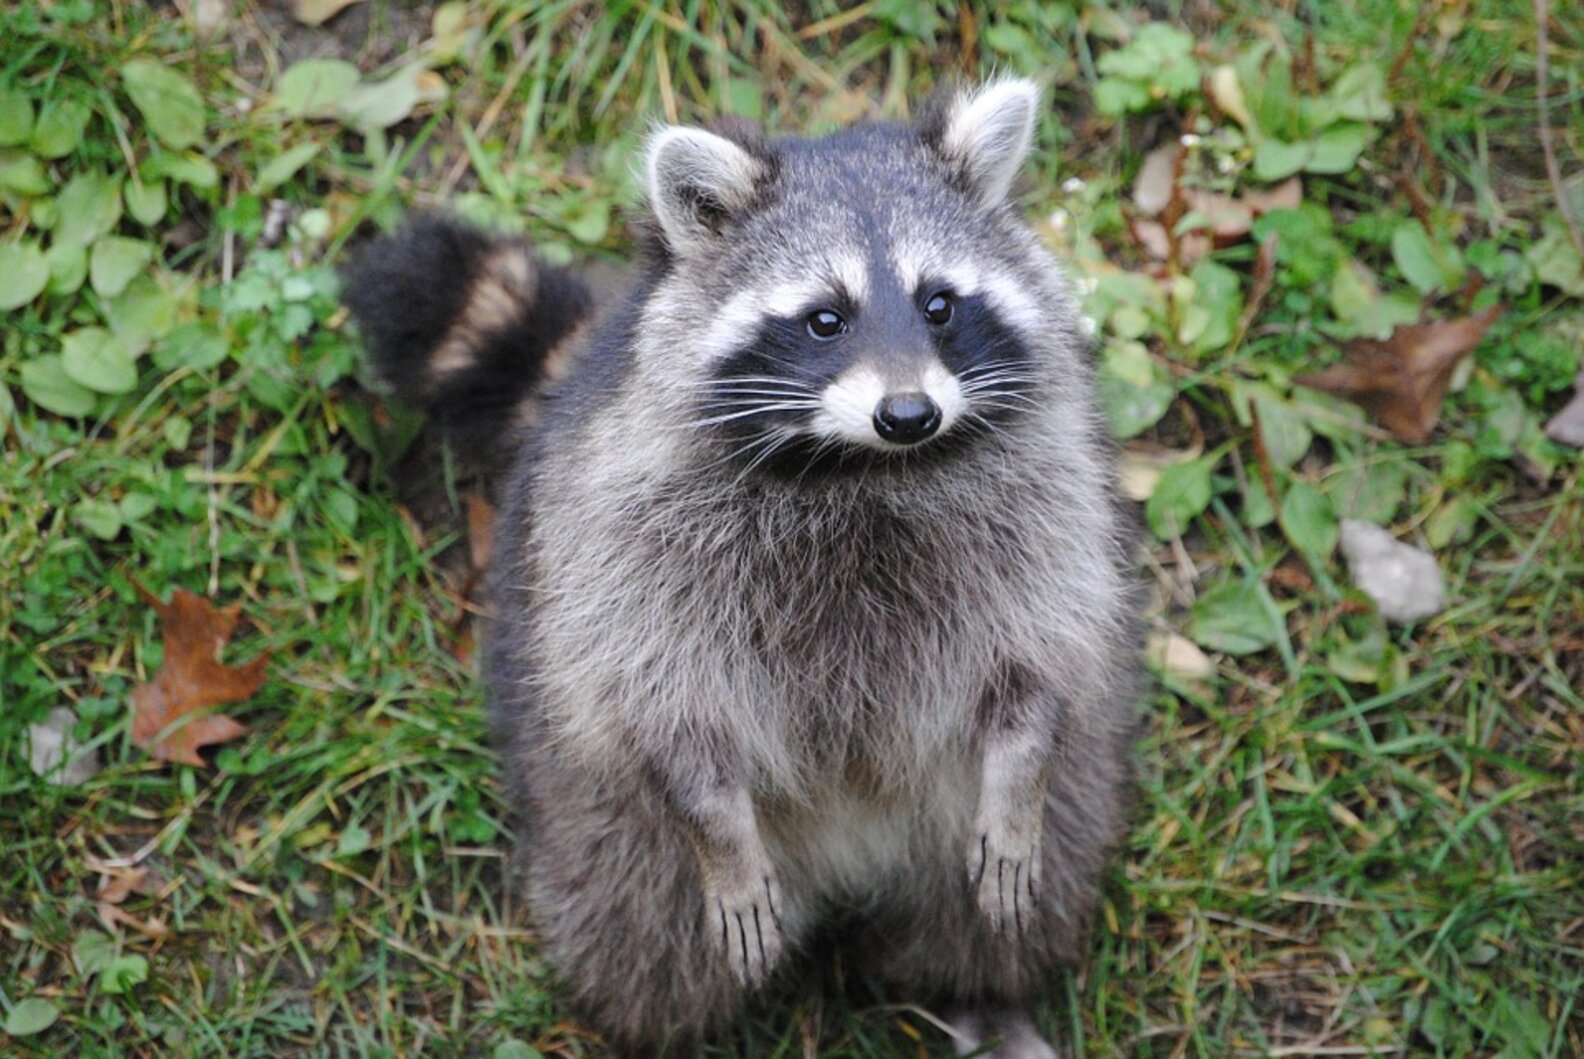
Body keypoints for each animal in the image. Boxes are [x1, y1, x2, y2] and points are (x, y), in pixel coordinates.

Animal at [344, 79, 1140, 1058]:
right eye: (825, 318)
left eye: (940, 304)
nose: (909, 413)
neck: (858, 467)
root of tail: (848, 866)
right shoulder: (624, 529)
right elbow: (661, 693)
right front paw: (714, 819)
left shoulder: (1045, 491)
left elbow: (1041, 649)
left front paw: (1018, 768)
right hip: (604, 818)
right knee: (639, 933)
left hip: (1037, 806)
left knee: (1010, 892)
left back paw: (983, 988)